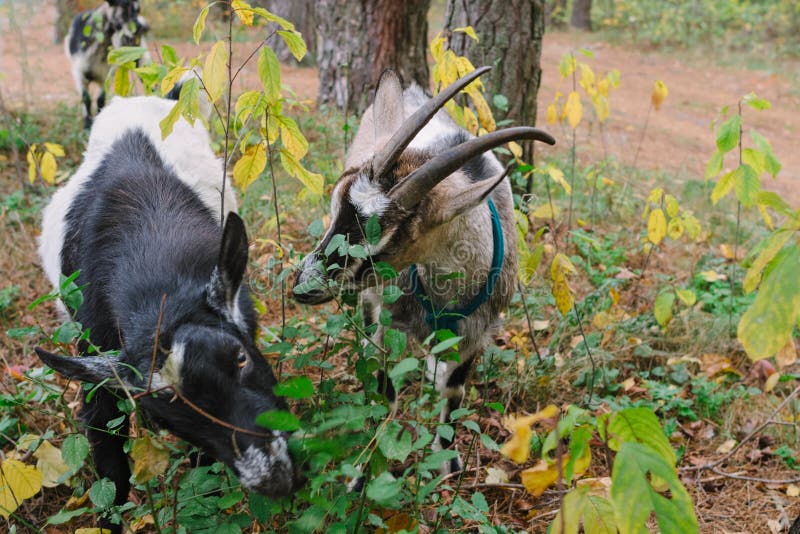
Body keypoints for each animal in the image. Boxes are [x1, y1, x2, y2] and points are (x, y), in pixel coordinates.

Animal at [65, 0, 150, 129]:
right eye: (125, 8)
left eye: (138, 10)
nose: (144, 28)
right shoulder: (78, 72)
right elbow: (86, 98)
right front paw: (87, 123)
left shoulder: (105, 75)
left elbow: (100, 99)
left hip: (141, 61)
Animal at [293, 67, 555, 473]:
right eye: (335, 206)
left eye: (387, 244)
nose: (304, 286)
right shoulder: (389, 322)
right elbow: (386, 392)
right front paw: (366, 471)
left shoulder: (476, 333)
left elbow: (454, 390)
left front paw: (448, 464)